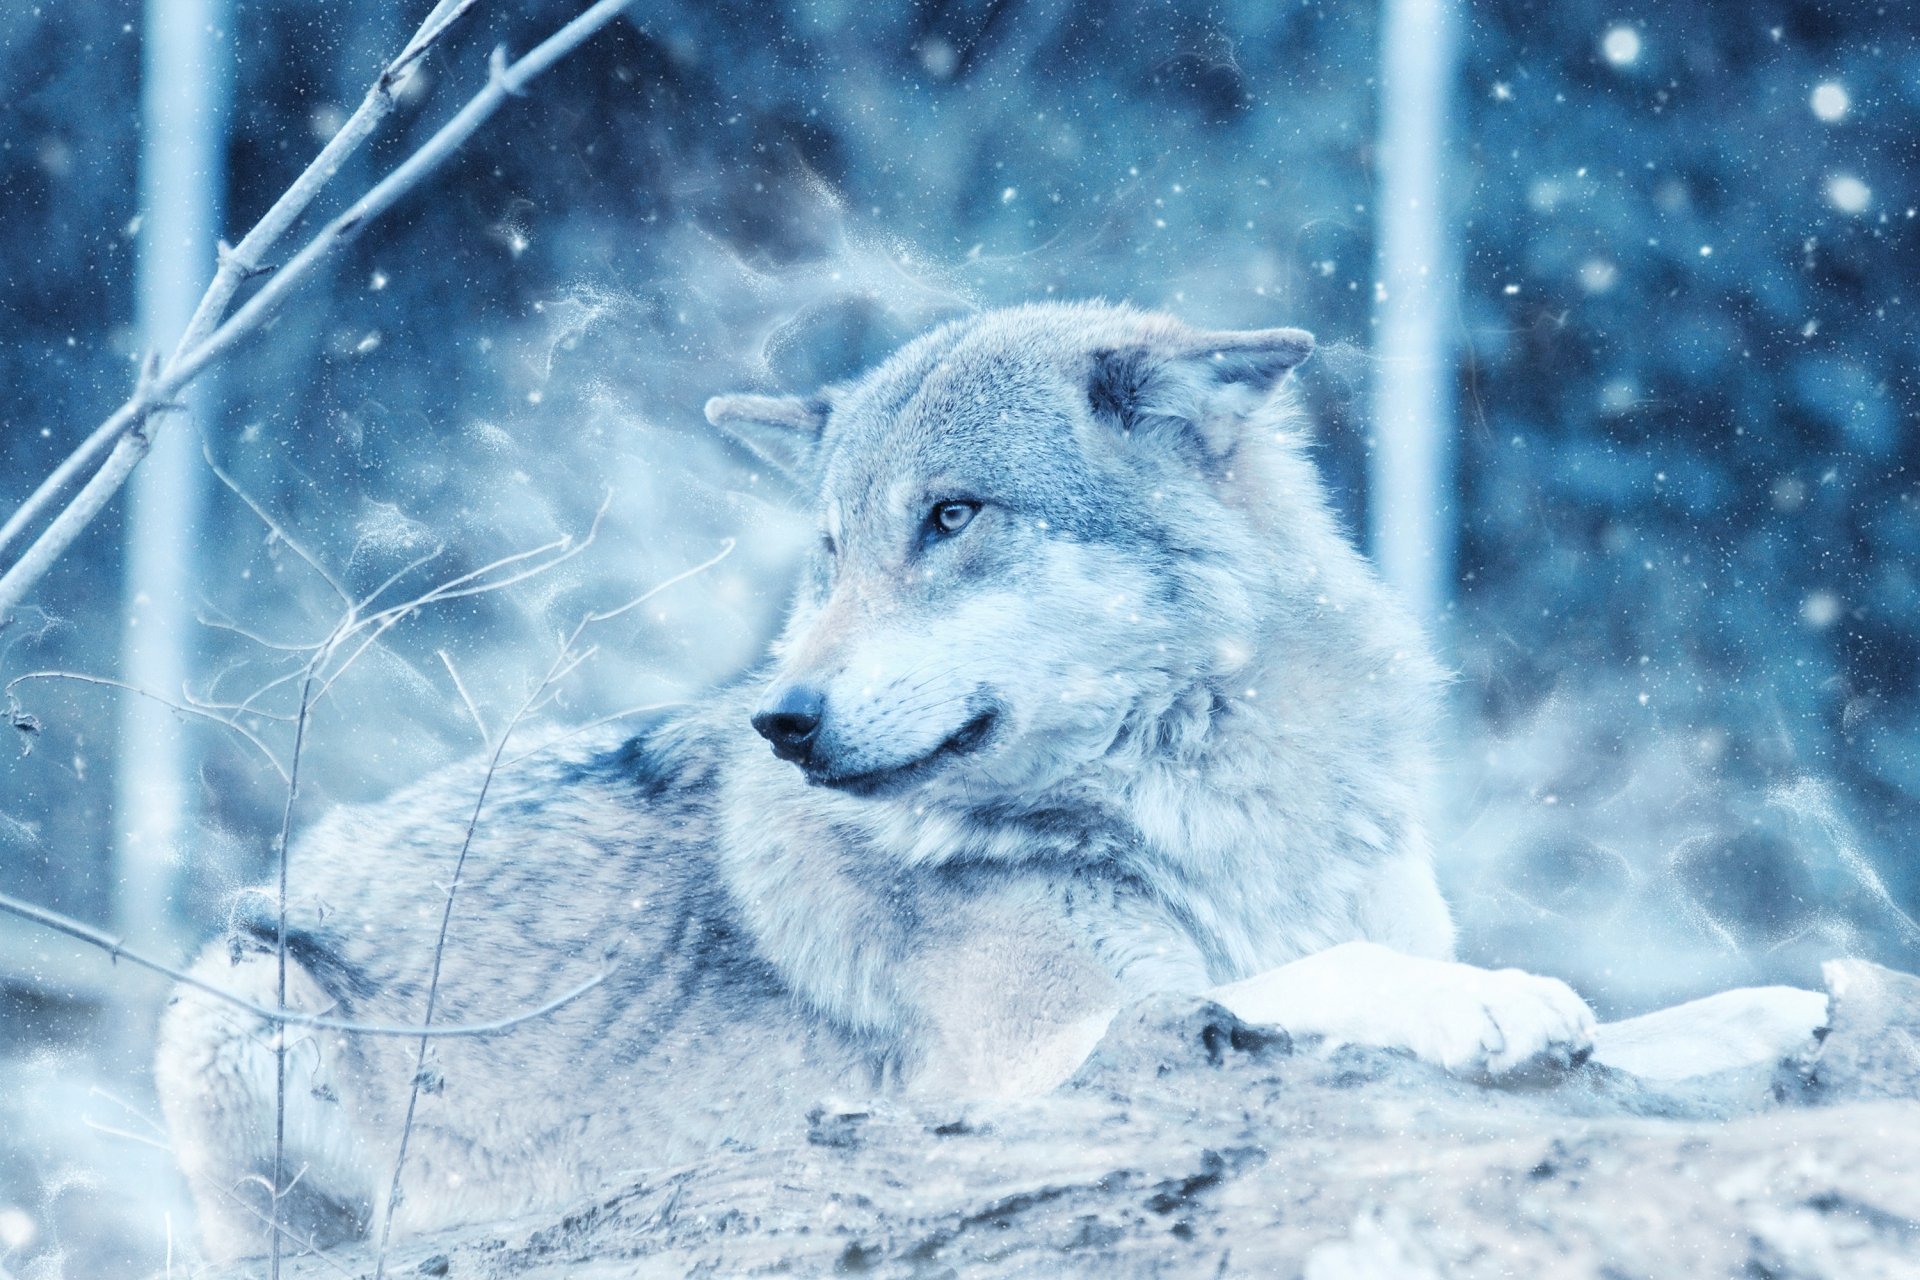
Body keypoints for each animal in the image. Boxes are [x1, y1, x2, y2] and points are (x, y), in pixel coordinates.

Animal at [158, 301, 1604, 1260]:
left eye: (952, 516)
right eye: (833, 548)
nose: (780, 721)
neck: (1213, 807)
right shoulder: (1035, 1062)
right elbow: (1309, 974)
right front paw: (1492, 1000)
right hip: (242, 995)